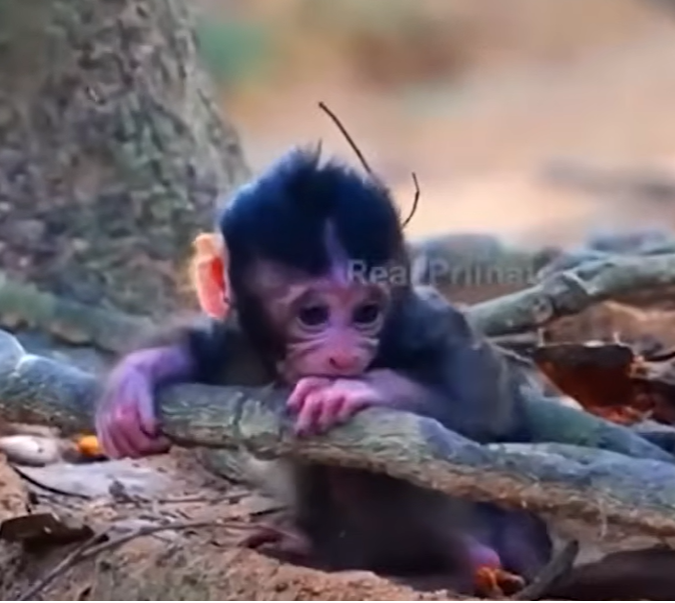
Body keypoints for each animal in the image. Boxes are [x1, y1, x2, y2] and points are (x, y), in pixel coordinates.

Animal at [95, 147, 552, 594]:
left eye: (367, 313)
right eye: (313, 314)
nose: (344, 357)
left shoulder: (421, 322)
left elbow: (486, 403)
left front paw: (359, 389)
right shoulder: (245, 347)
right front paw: (137, 374)